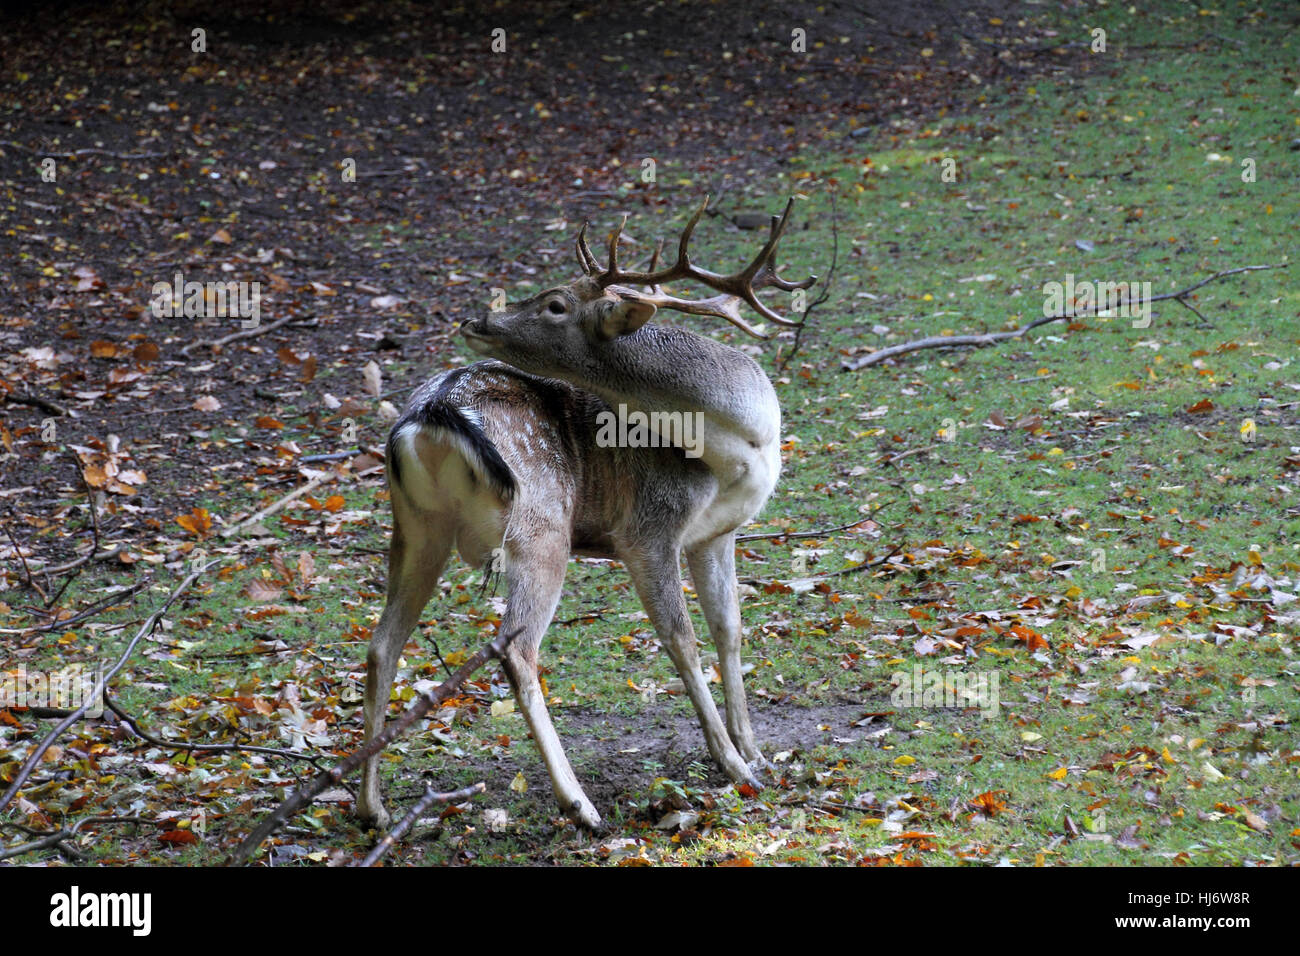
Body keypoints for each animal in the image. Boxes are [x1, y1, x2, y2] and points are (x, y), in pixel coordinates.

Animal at [358, 197, 816, 830]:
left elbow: (729, 629)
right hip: (540, 525)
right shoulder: (647, 528)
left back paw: (373, 809)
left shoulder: (716, 533)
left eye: (554, 303)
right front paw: (732, 764)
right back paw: (580, 805)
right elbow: (681, 637)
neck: (742, 443)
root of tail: (432, 415)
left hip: (416, 525)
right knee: (516, 648)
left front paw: (755, 750)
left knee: (382, 645)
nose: (474, 320)